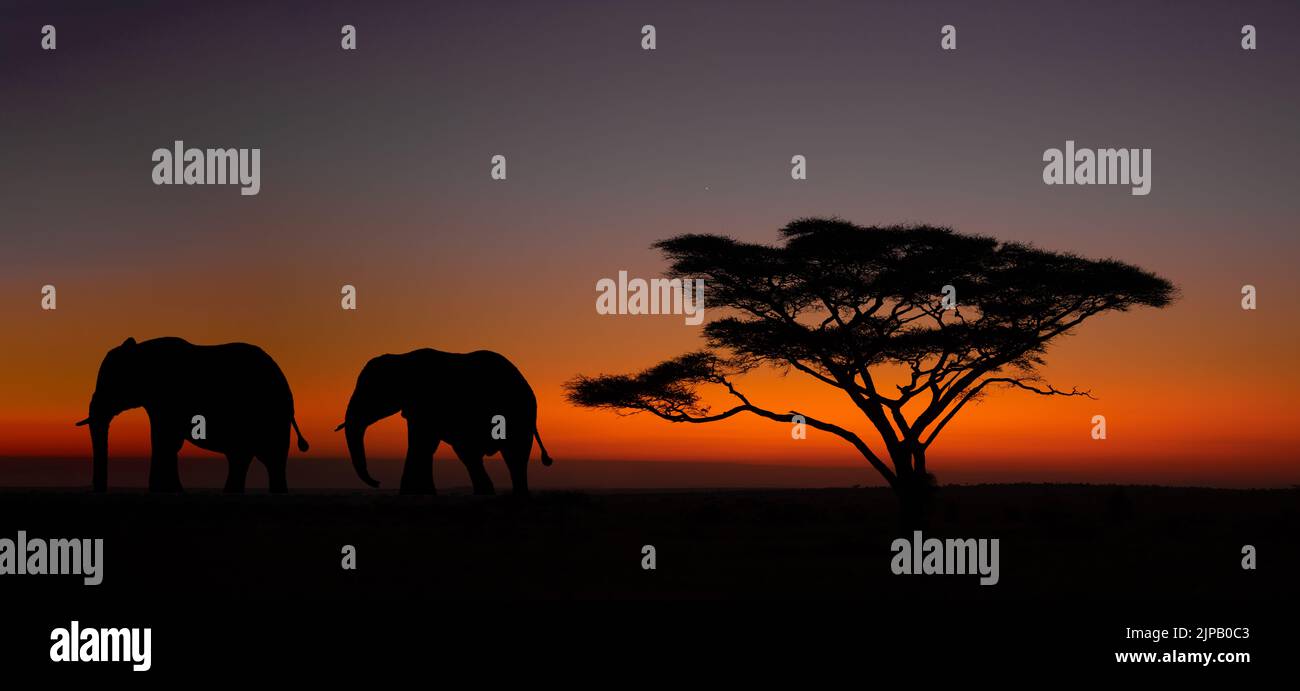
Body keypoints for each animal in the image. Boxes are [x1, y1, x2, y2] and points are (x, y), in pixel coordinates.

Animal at [75, 337, 309, 493]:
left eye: (109, 384)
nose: (98, 488)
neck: (142, 350)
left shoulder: (169, 398)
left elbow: (164, 440)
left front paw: (162, 491)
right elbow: (167, 441)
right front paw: (173, 491)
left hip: (273, 416)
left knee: (271, 459)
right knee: (244, 457)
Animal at [335, 349, 553, 496]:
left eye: (370, 393)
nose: (377, 483)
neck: (402, 358)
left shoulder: (427, 402)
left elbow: (421, 443)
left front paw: (412, 494)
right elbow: (424, 444)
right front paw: (422, 494)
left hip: (519, 416)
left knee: (514, 456)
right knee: (471, 455)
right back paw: (487, 493)